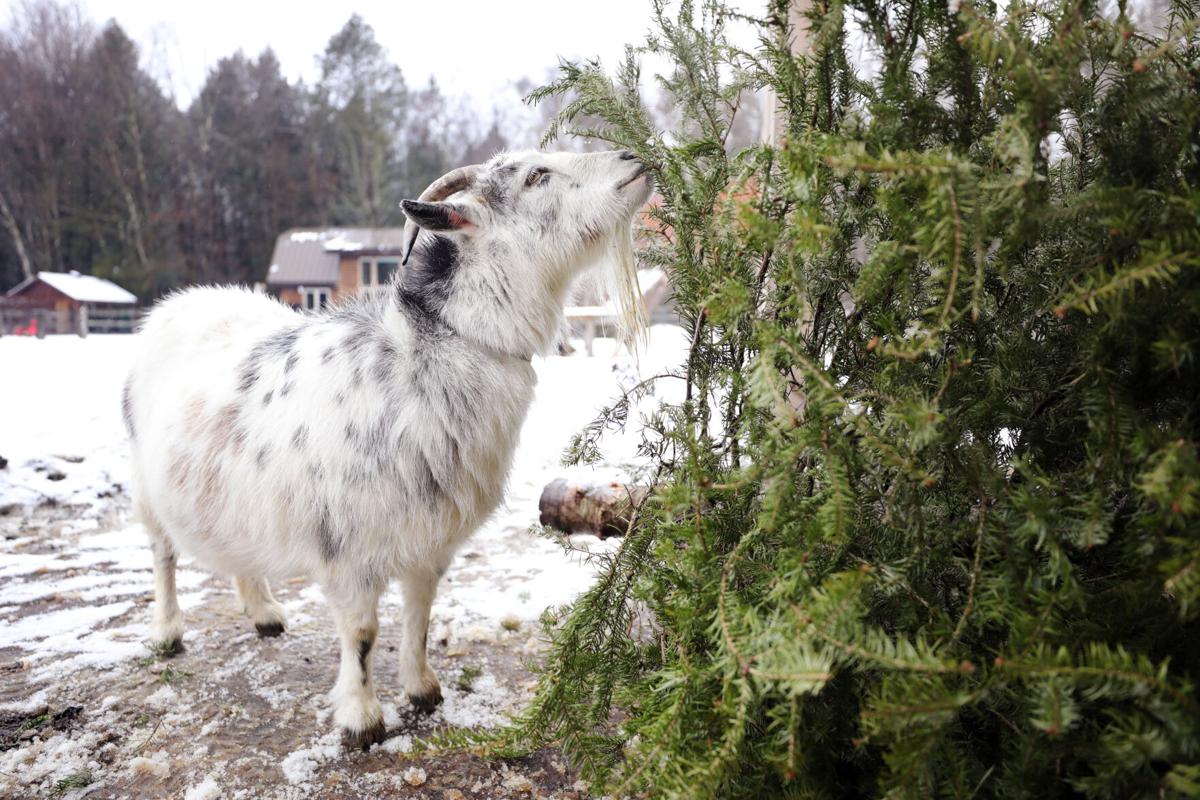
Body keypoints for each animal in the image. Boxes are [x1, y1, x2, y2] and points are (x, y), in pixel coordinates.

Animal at [123, 149, 653, 749]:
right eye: (535, 176)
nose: (634, 159)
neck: (418, 361)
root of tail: (180, 303)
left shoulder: (429, 538)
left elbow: (419, 617)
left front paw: (423, 691)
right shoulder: (346, 551)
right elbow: (362, 632)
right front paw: (362, 720)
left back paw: (264, 614)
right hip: (147, 487)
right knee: (163, 555)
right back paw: (168, 632)